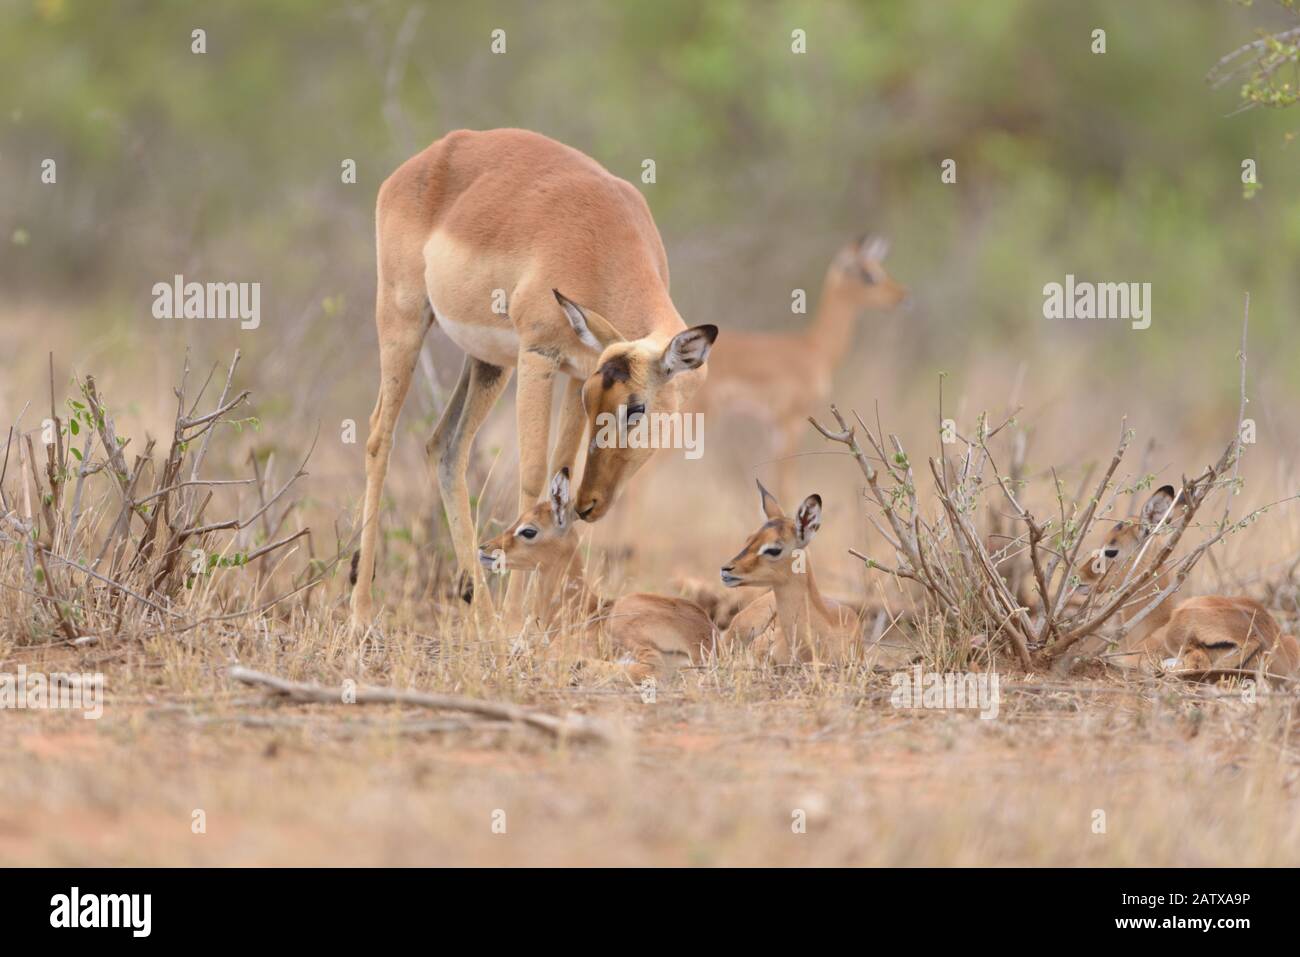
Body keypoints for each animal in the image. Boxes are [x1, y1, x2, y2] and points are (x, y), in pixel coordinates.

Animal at [349, 129, 716, 629]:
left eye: (634, 407)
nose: (589, 504)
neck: (605, 243)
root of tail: (428, 157)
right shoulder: (539, 357)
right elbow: (533, 474)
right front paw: (517, 617)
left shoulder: (577, 370)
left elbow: (560, 470)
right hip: (404, 320)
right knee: (378, 439)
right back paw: (361, 611)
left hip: (487, 363)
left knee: (445, 446)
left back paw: (481, 615)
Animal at [700, 235, 906, 498]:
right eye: (869, 275)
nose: (901, 295)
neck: (815, 348)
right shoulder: (791, 423)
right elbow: (787, 486)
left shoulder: (774, 428)